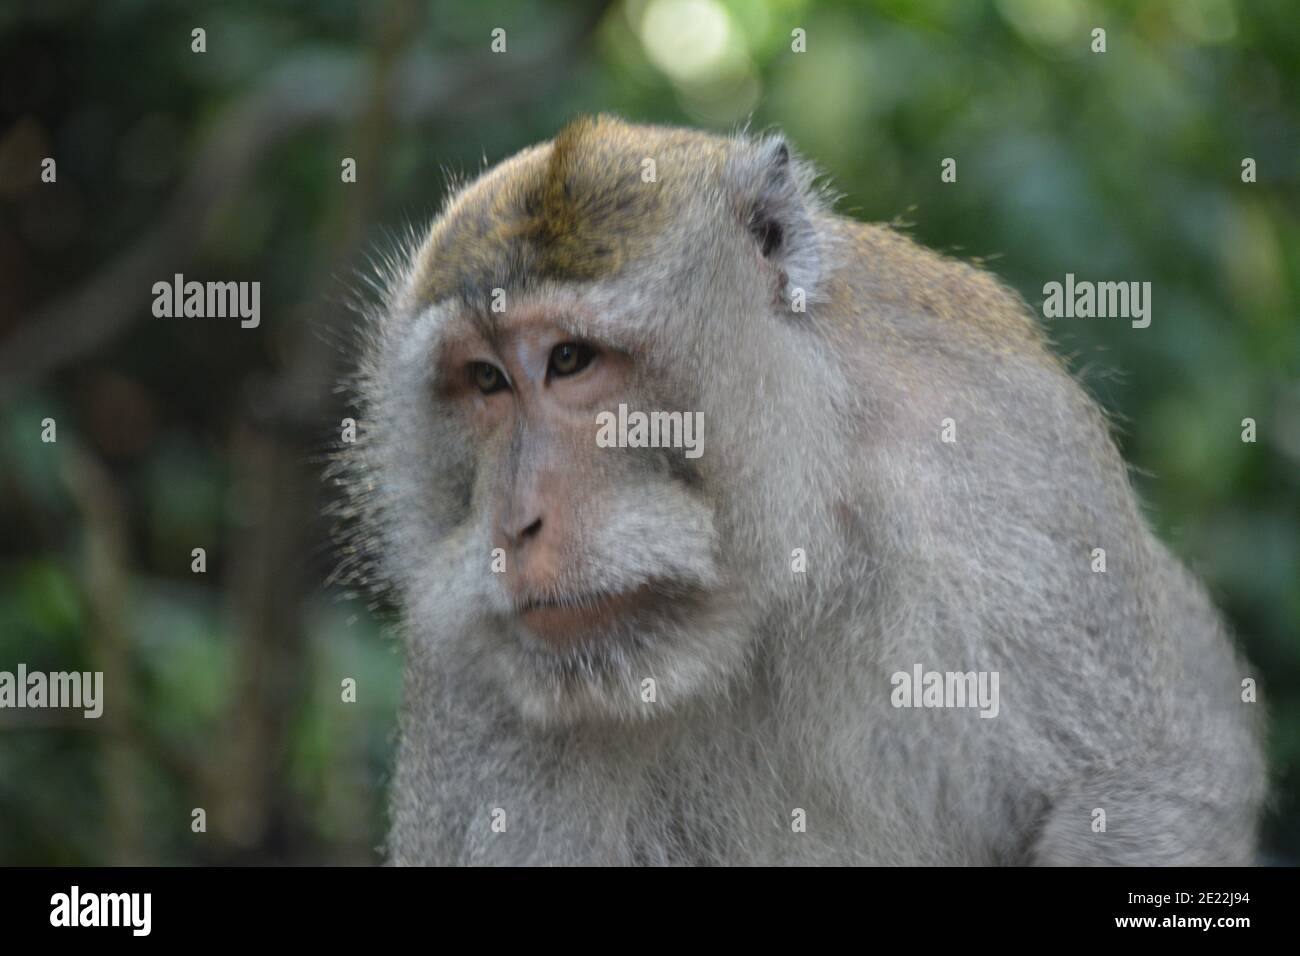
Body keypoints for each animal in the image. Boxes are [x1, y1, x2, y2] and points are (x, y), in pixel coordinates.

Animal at [335, 115, 1266, 865]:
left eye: (570, 359)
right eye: (486, 380)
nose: (516, 523)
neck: (786, 560)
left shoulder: (1006, 473)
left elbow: (1146, 776)